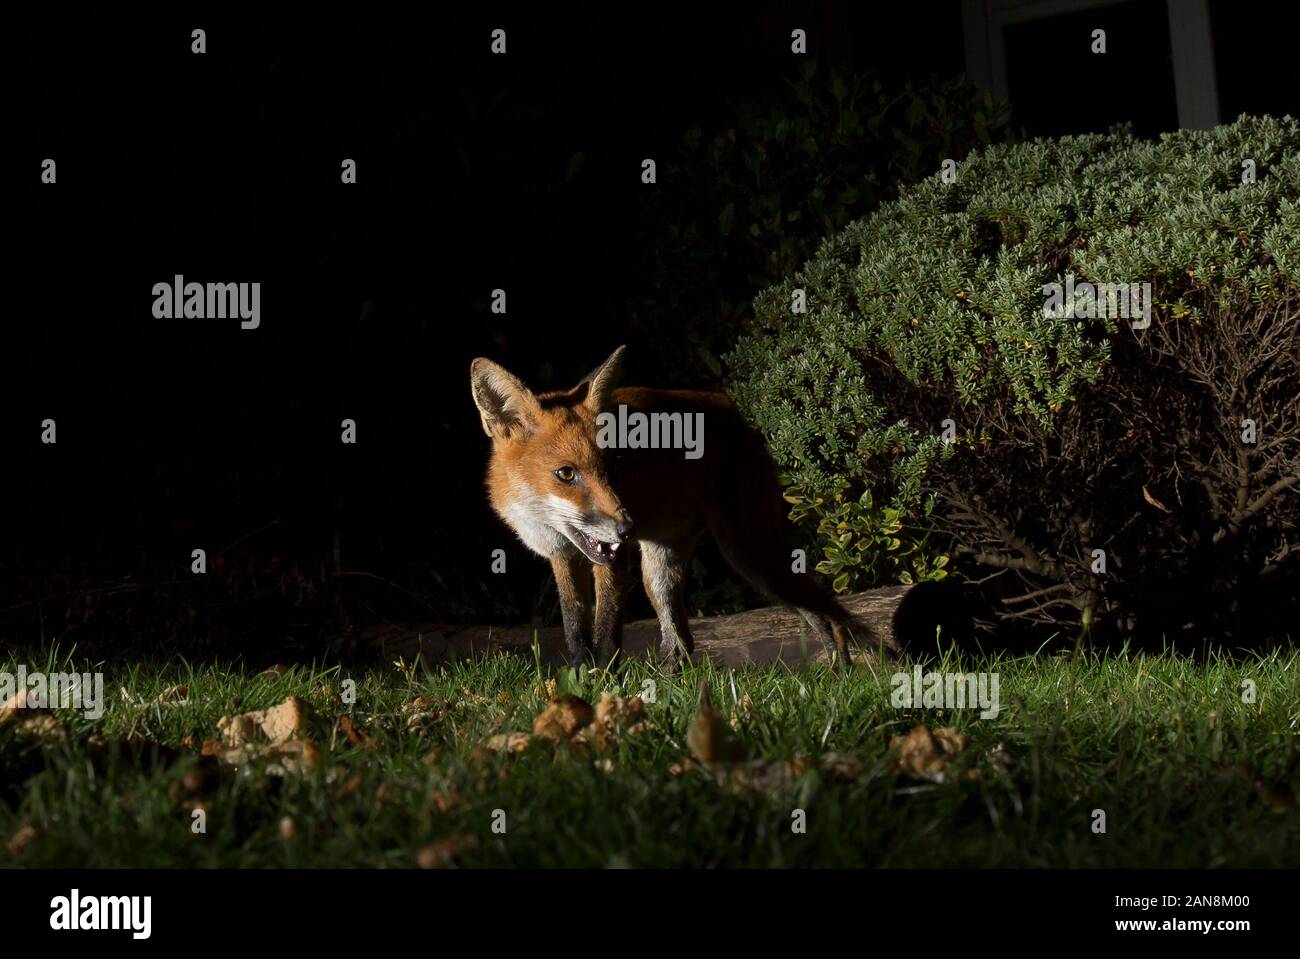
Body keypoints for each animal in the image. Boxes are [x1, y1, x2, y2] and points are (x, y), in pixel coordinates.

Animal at [470, 345, 876, 669]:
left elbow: (606, 632)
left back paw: (839, 675)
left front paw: (603, 685)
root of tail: (730, 407)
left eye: (613, 466)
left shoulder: (612, 558)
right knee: (681, 643)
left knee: (828, 615)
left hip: (751, 556)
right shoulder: (561, 555)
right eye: (566, 474)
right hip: (661, 571)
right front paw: (580, 676)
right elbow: (574, 628)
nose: (627, 529)